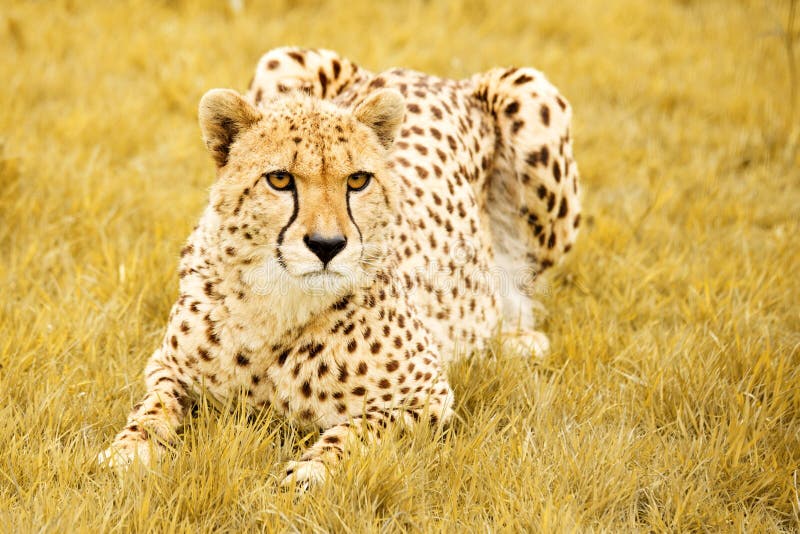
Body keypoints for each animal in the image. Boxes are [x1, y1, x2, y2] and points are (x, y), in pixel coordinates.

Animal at [98, 47, 581, 486]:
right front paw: (129, 450)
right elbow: (152, 408)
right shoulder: (167, 368)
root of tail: (439, 77)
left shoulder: (428, 396)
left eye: (358, 180)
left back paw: (518, 342)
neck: (278, 303)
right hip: (279, 59)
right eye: (279, 179)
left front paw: (312, 470)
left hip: (532, 102)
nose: (327, 245)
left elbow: (360, 429)